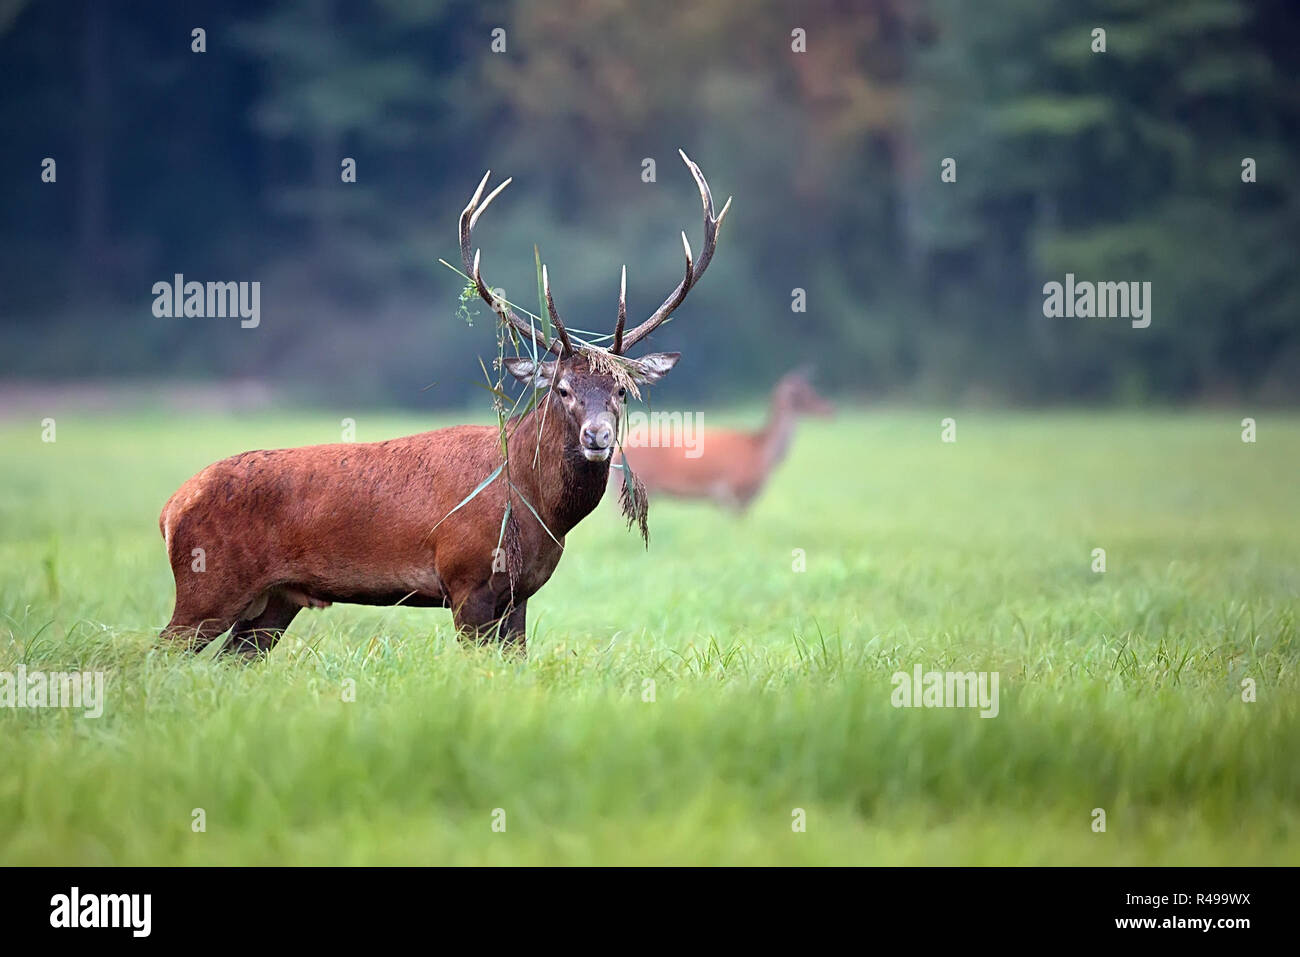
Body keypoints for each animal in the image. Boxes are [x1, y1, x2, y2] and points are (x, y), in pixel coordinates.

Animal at [158, 151, 730, 658]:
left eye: (621, 391)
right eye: (562, 388)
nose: (597, 436)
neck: (536, 506)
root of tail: (172, 506)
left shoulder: (518, 594)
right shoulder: (465, 580)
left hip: (272, 603)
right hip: (208, 584)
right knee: (158, 653)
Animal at [616, 368, 832, 513]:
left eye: (811, 389)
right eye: (804, 393)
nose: (829, 409)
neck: (761, 453)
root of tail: (619, 451)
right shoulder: (732, 490)